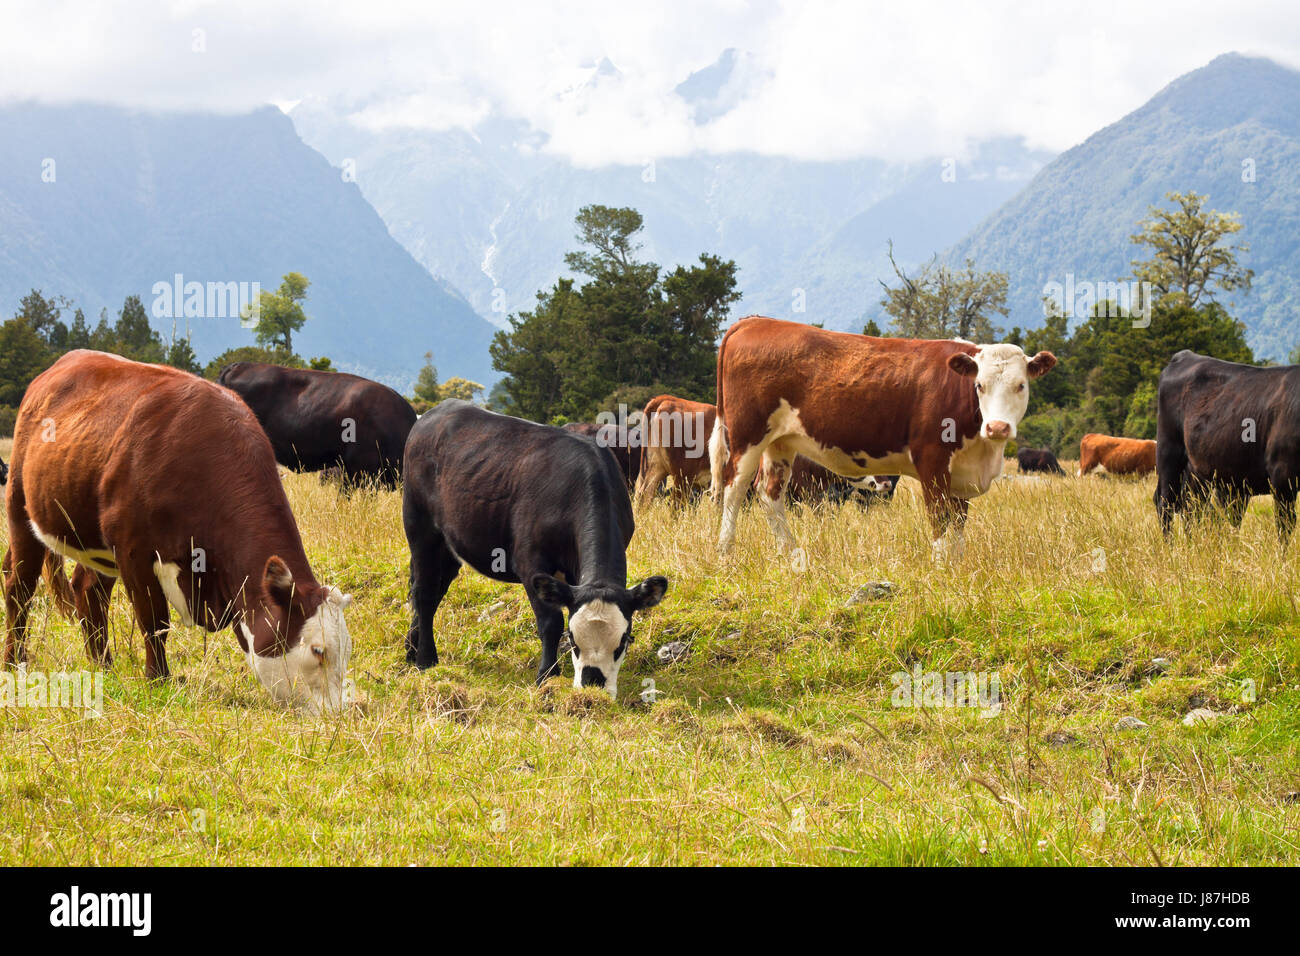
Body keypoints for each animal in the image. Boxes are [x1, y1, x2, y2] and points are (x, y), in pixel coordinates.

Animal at [2, 351, 355, 713]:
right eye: (318, 650)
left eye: (346, 652)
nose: (338, 713)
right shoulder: (134, 551)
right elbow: (155, 622)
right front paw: (158, 680)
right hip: (19, 505)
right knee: (19, 586)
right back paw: (15, 662)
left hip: (98, 544)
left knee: (87, 591)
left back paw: (104, 668)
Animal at [402, 400, 668, 697]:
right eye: (573, 640)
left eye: (623, 641)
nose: (593, 685)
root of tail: (435, 412)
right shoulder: (530, 562)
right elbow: (551, 623)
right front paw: (547, 676)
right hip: (419, 525)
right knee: (424, 593)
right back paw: (425, 659)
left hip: (451, 543)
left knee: (434, 590)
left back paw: (411, 648)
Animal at [709, 316, 1056, 558]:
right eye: (980, 385)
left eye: (1021, 385)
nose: (997, 427)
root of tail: (755, 321)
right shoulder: (932, 460)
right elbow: (940, 520)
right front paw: (941, 567)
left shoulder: (962, 473)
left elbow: (958, 524)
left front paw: (957, 565)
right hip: (746, 436)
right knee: (734, 489)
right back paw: (726, 551)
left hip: (779, 442)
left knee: (769, 494)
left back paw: (790, 552)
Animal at [1155, 350, 1300, 540]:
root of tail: (1185, 355)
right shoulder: (1282, 475)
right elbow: (1285, 526)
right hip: (1169, 453)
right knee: (1166, 504)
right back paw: (1171, 546)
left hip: (1201, 471)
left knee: (1194, 507)